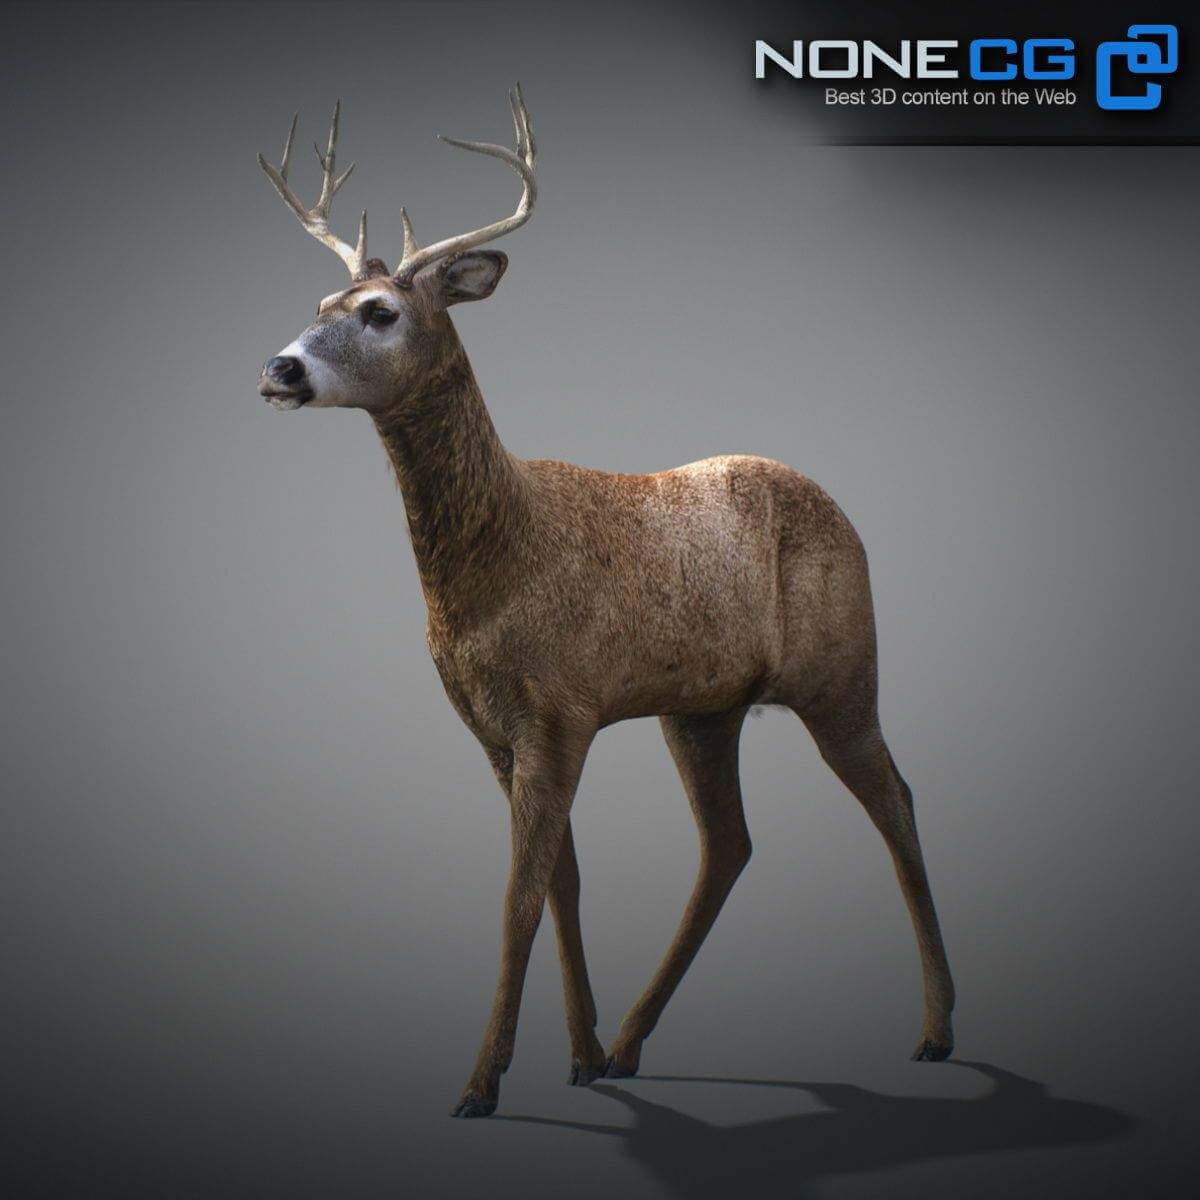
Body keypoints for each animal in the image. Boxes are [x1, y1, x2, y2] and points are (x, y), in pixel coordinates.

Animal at [255, 87, 956, 1119]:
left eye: (379, 312)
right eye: (317, 306)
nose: (279, 369)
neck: (491, 570)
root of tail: (840, 508)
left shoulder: (559, 706)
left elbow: (520, 893)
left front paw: (480, 1082)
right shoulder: (496, 727)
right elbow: (564, 881)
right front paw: (578, 1054)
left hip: (842, 668)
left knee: (894, 799)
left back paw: (938, 1031)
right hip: (701, 708)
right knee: (730, 843)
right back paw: (628, 1043)